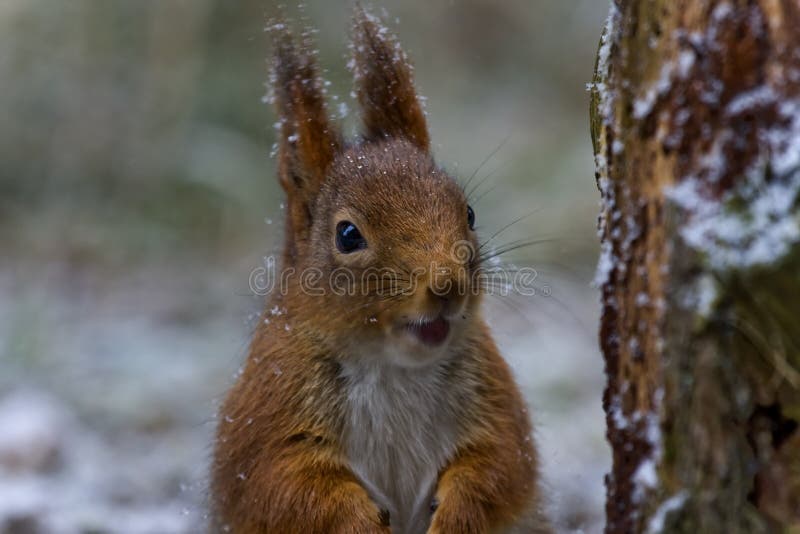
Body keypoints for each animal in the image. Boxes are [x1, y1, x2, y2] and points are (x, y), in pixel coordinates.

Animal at [211, 7, 550, 534]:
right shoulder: (268, 414)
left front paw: (456, 514)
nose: (447, 284)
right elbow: (283, 487)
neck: (392, 366)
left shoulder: (494, 398)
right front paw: (360, 521)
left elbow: (501, 463)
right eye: (348, 235)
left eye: (469, 212)